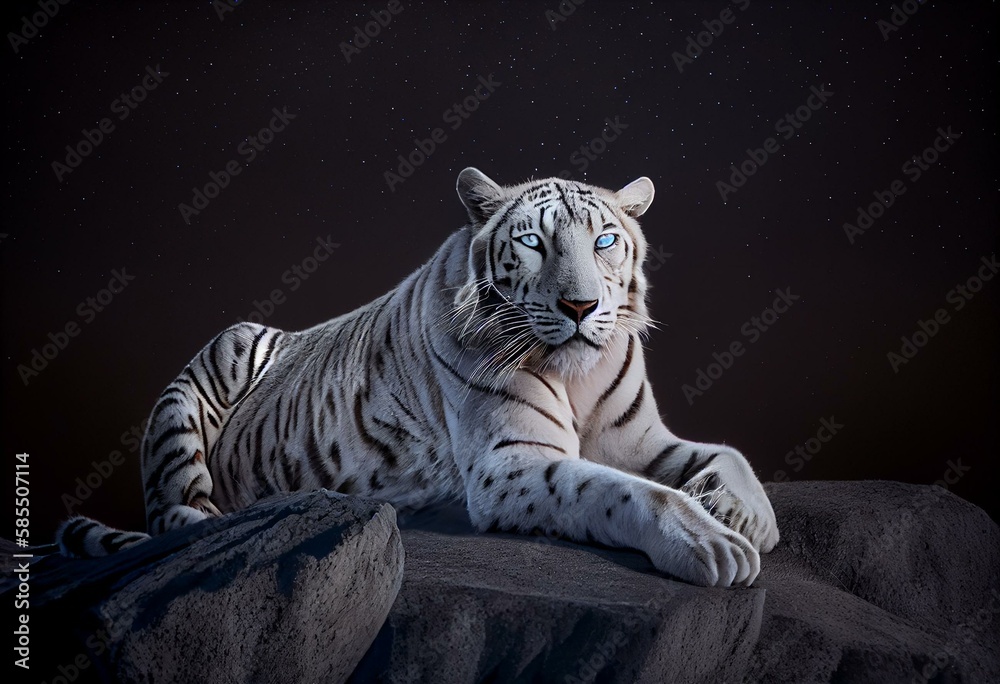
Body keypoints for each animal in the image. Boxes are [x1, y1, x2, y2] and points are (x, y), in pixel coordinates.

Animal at [57, 167, 779, 588]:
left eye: (604, 241)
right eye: (533, 243)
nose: (581, 307)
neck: (578, 374)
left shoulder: (639, 440)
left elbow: (726, 455)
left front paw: (752, 518)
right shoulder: (513, 462)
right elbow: (630, 493)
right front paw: (713, 545)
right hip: (201, 380)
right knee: (179, 520)